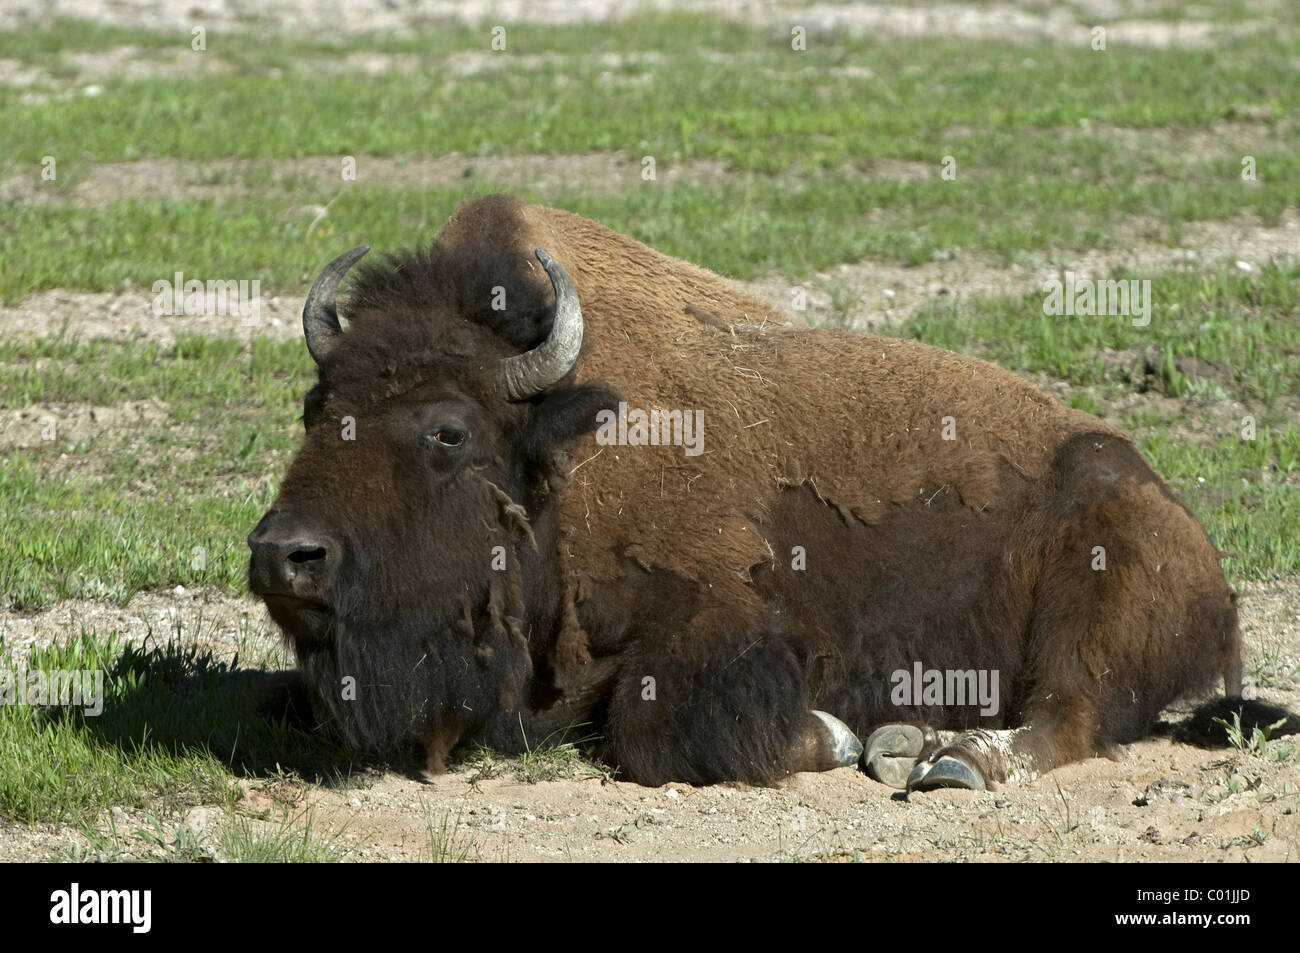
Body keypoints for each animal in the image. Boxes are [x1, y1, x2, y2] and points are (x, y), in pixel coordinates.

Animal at [249, 194, 1242, 791]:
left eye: (449, 431)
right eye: (314, 407)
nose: (283, 554)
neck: (565, 456)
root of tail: (1175, 513)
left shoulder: (721, 616)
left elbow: (656, 727)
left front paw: (838, 736)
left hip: (1092, 600)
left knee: (1064, 712)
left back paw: (944, 757)